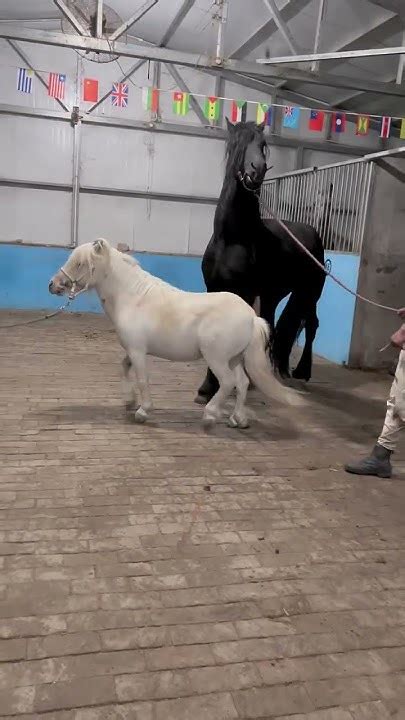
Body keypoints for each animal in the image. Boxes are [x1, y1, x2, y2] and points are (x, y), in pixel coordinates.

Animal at [48, 239, 302, 428]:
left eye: (80, 263)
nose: (52, 285)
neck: (133, 298)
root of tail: (251, 316)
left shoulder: (138, 351)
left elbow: (142, 378)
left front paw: (142, 411)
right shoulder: (133, 350)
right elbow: (124, 367)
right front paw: (129, 401)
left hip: (217, 359)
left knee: (228, 382)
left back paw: (210, 415)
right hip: (235, 359)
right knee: (242, 383)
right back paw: (237, 419)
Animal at [196, 119, 325, 405]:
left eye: (263, 144)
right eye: (237, 143)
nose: (257, 170)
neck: (232, 238)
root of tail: (312, 232)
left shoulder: (244, 292)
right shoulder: (215, 288)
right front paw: (206, 388)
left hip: (309, 293)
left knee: (310, 324)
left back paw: (301, 372)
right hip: (272, 294)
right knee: (272, 325)